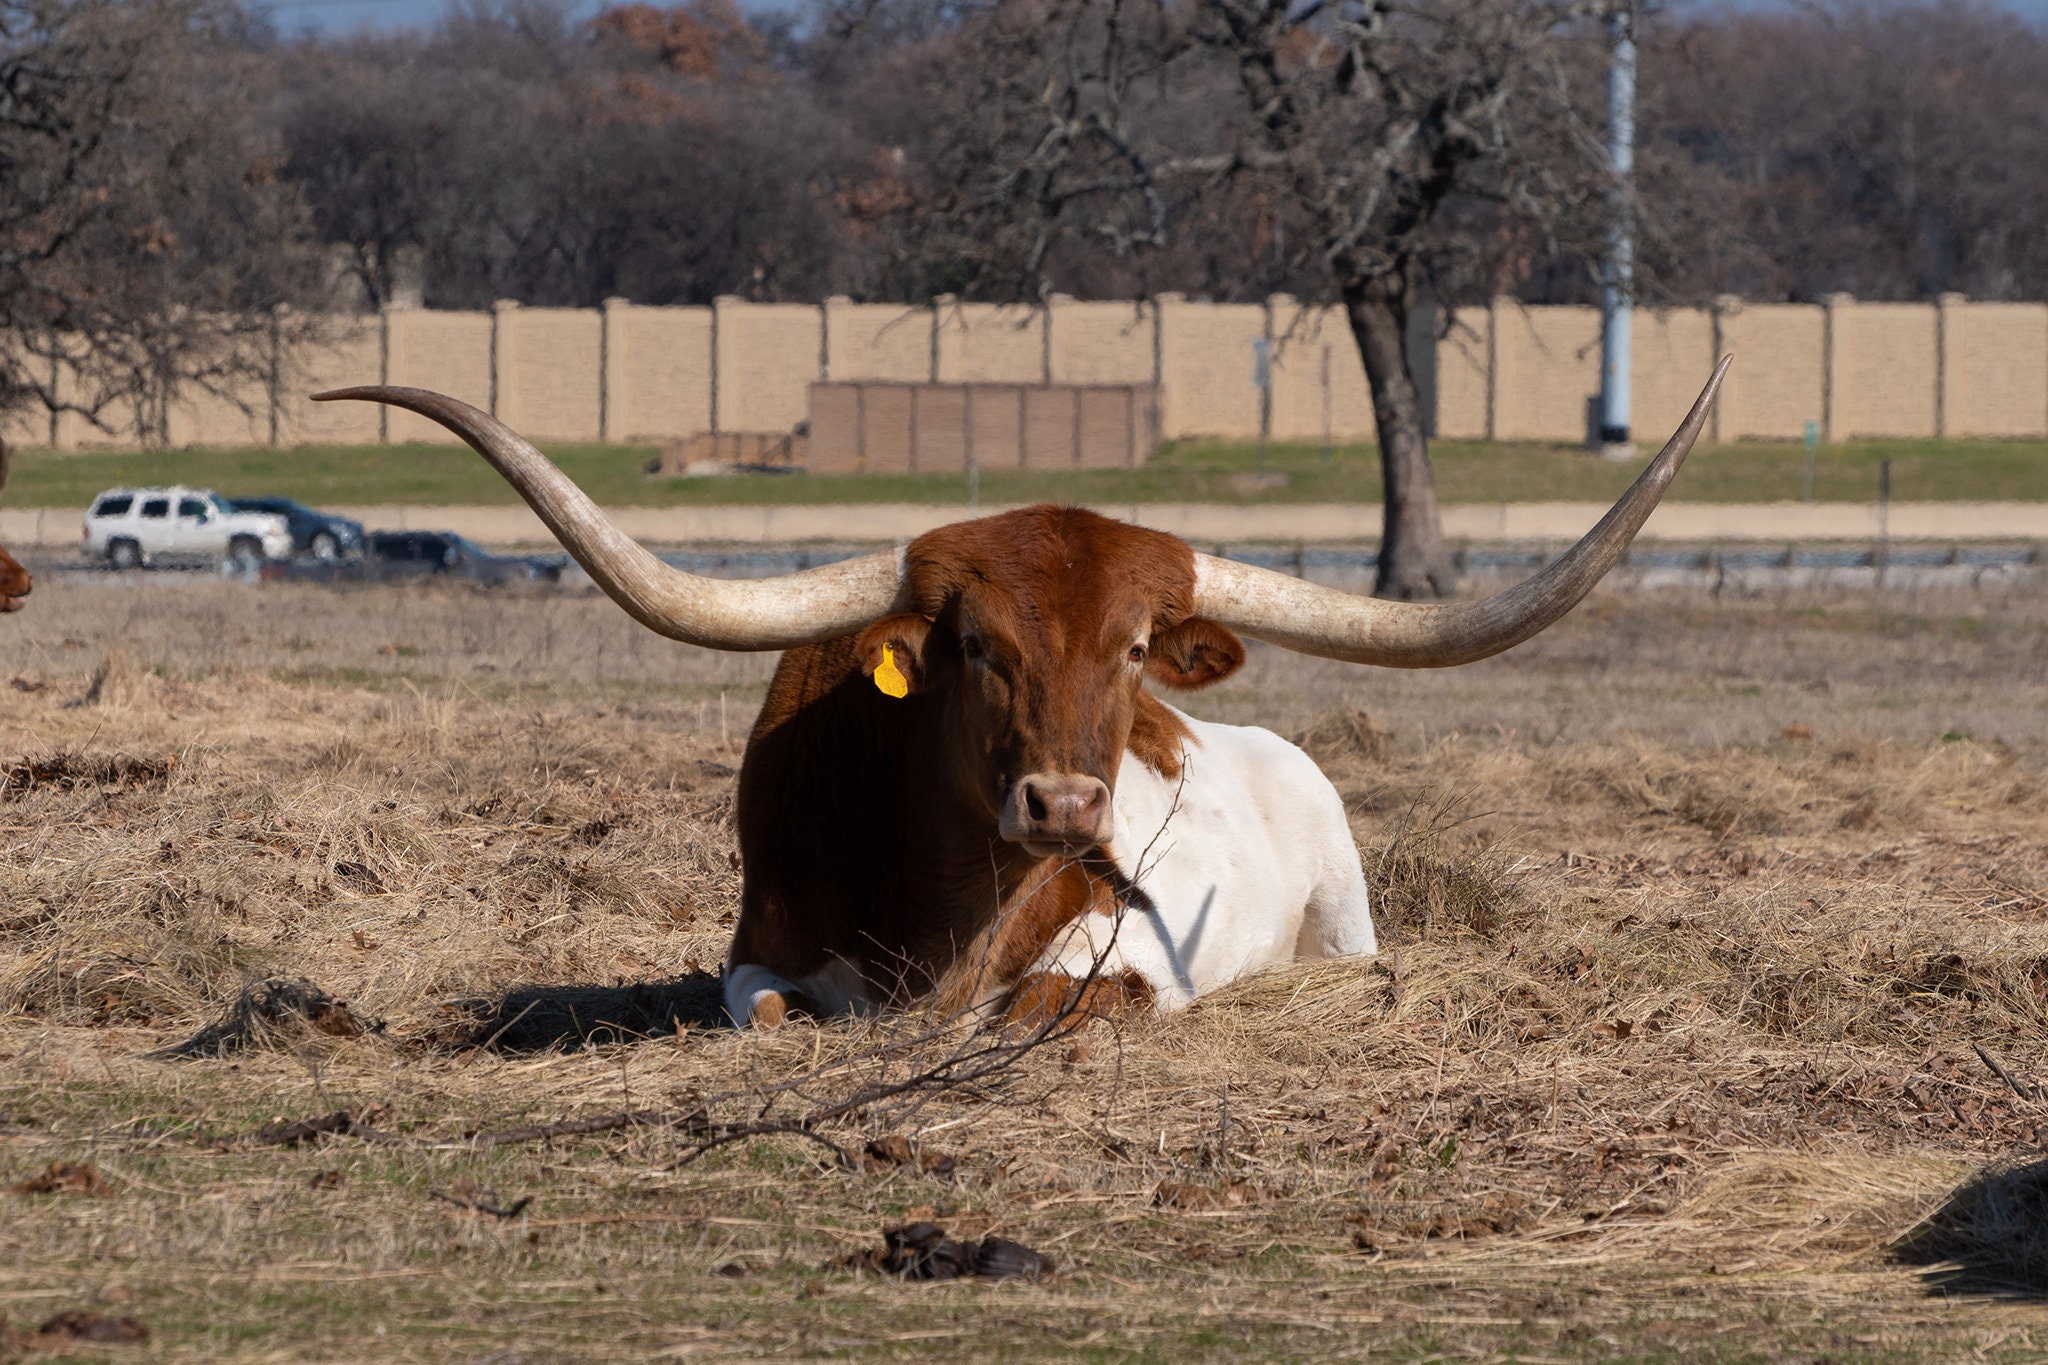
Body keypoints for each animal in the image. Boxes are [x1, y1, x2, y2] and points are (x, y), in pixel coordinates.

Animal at [316, 358, 1727, 1030]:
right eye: (975, 646)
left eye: (1134, 647)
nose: (1064, 808)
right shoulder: (756, 948)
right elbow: (767, 1014)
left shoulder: (1119, 946)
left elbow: (1060, 998)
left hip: (1346, 914)